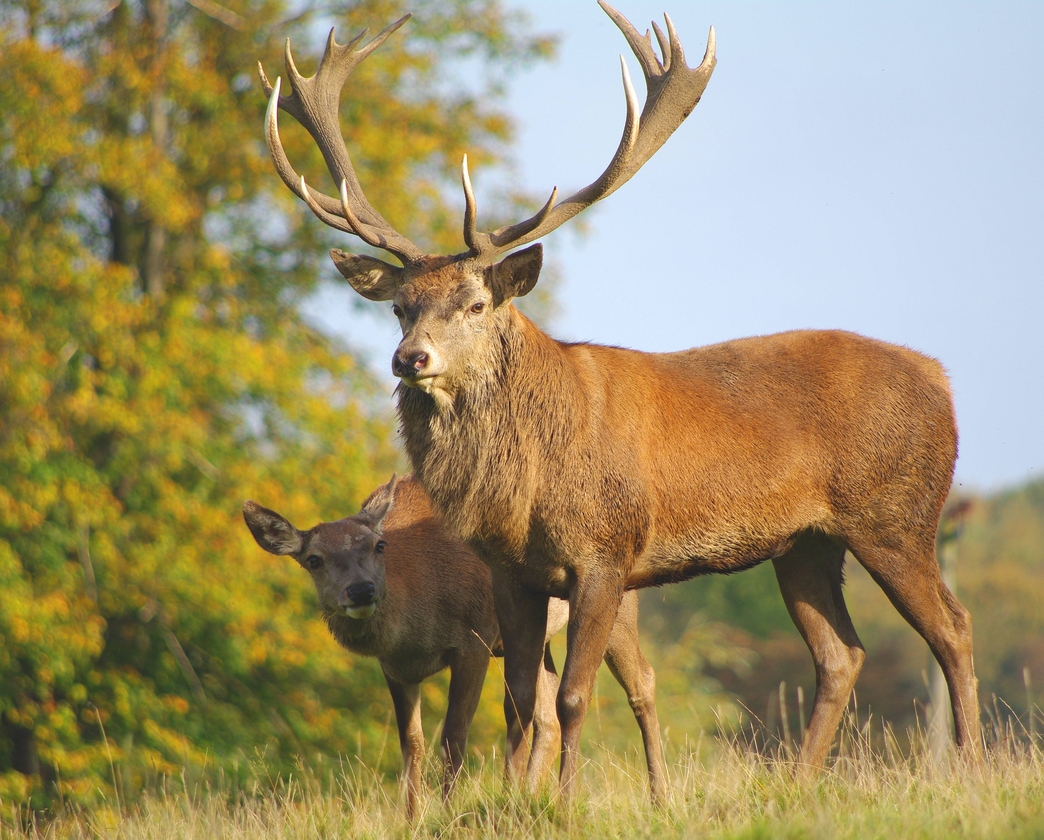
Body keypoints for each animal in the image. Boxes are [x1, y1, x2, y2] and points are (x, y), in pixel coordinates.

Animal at [242, 475, 665, 817]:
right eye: (314, 559)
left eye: (379, 546)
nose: (362, 590)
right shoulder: (394, 667)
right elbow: (411, 743)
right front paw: (410, 820)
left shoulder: (472, 639)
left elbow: (453, 735)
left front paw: (447, 815)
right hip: (539, 636)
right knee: (545, 718)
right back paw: (528, 802)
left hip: (615, 595)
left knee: (642, 680)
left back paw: (659, 801)